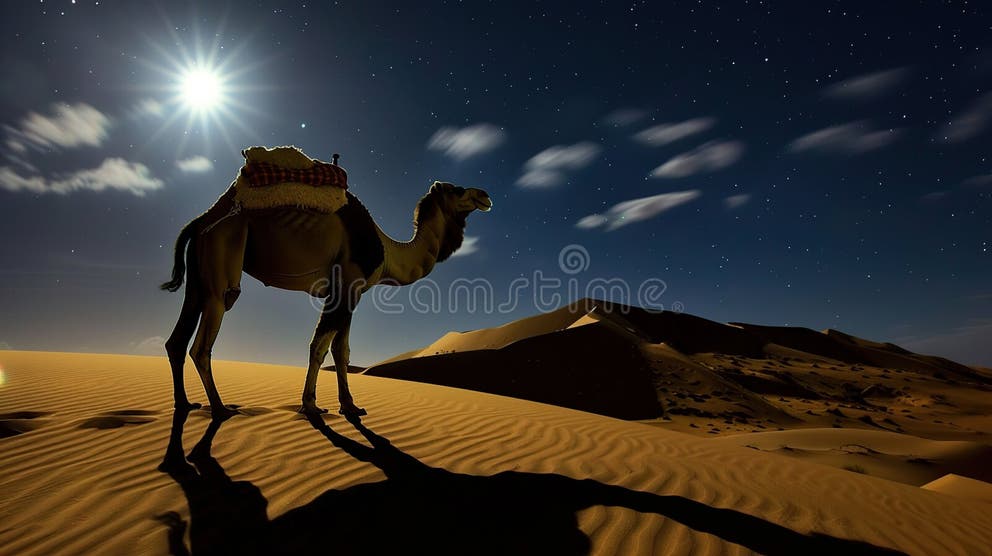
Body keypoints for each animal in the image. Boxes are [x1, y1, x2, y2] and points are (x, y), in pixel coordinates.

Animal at [161, 178, 492, 418]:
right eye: (458, 190)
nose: (485, 195)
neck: (387, 252)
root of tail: (200, 221)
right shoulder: (345, 288)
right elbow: (319, 347)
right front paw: (310, 405)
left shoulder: (351, 293)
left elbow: (341, 351)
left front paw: (351, 406)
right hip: (222, 262)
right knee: (202, 344)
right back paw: (220, 409)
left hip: (198, 277)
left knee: (176, 340)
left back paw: (185, 404)